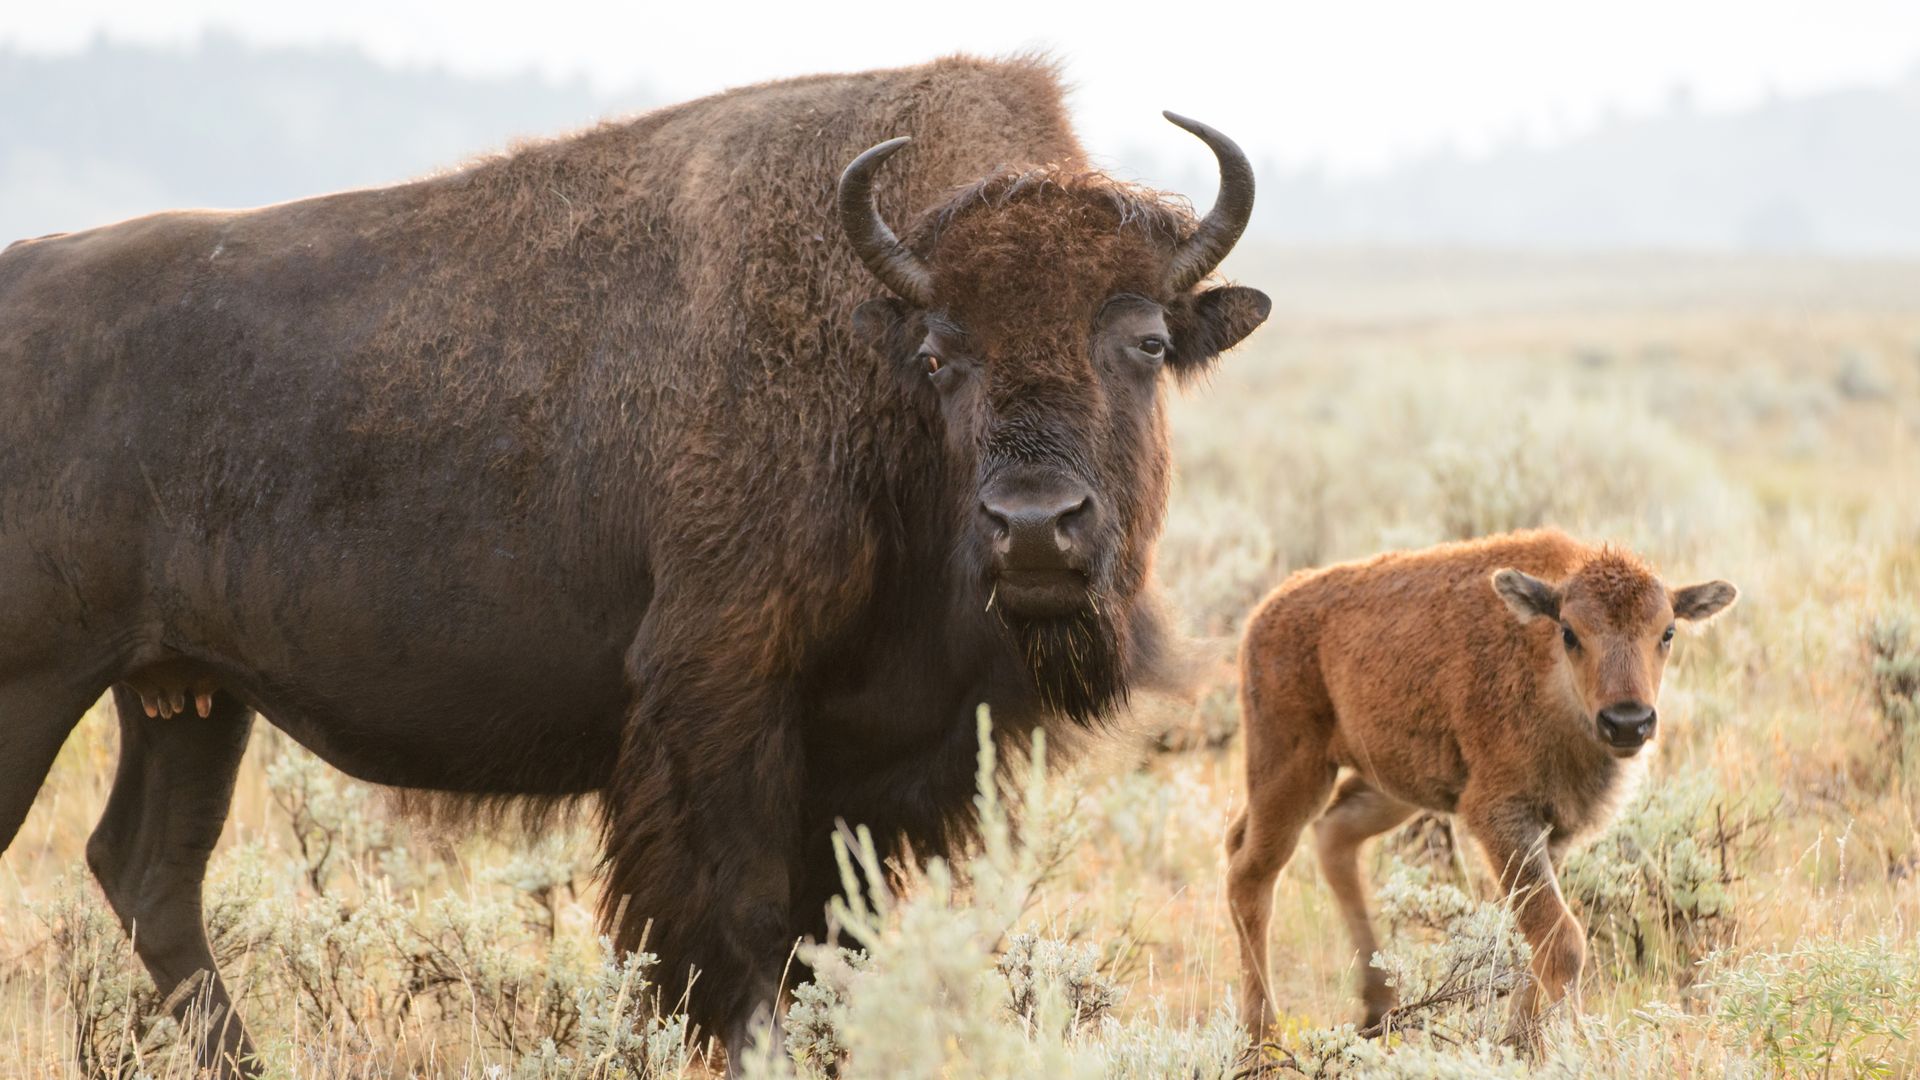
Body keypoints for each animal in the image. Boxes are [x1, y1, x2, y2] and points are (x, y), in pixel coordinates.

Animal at [0, 55, 1269, 1071]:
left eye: (1147, 342)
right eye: (939, 355)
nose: (1036, 528)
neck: (866, 360)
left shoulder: (877, 767)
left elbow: (828, 949)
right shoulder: (722, 707)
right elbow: (737, 936)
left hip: (184, 694)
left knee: (150, 871)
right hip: (46, 683)